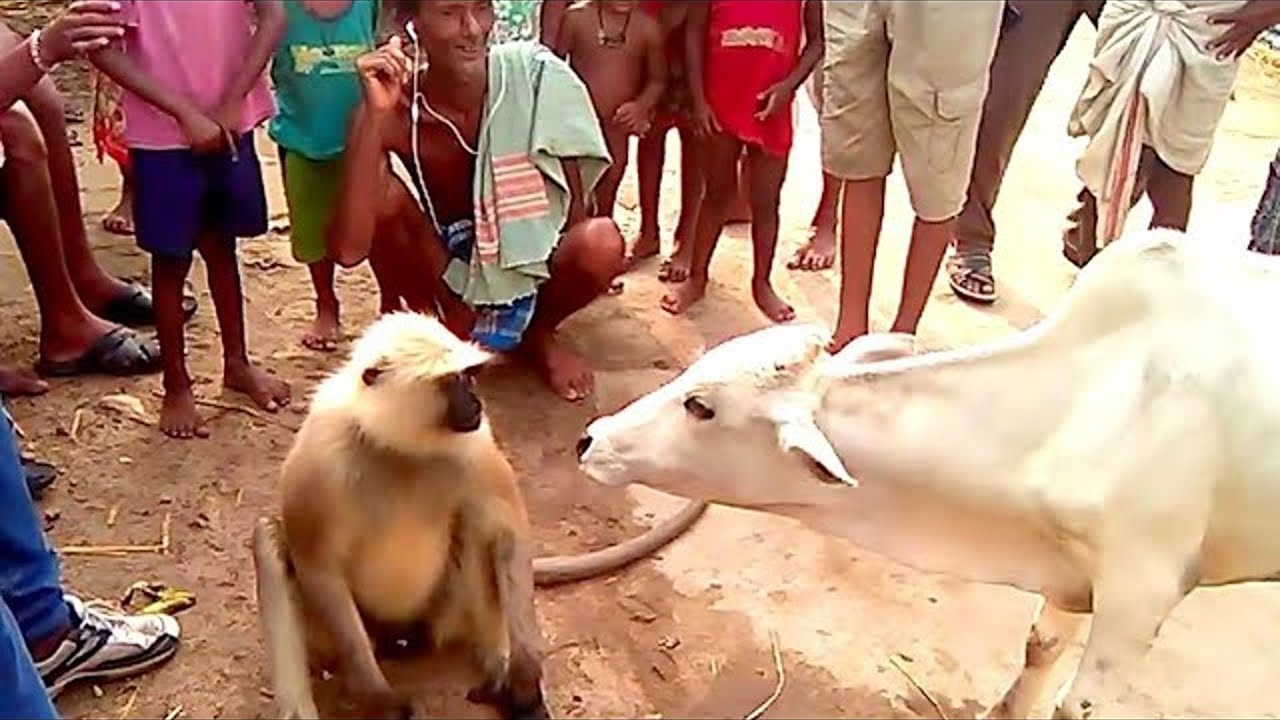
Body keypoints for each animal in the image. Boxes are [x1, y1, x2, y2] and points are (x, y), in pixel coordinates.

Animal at [252, 312, 705, 720]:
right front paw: (379, 699)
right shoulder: (319, 455)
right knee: (268, 537)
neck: (399, 445)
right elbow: (318, 566)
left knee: (477, 525)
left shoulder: (476, 438)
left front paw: (523, 677)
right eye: (451, 382)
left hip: (444, 612)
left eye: (467, 378)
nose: (475, 401)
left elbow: (510, 534)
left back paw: (497, 671)